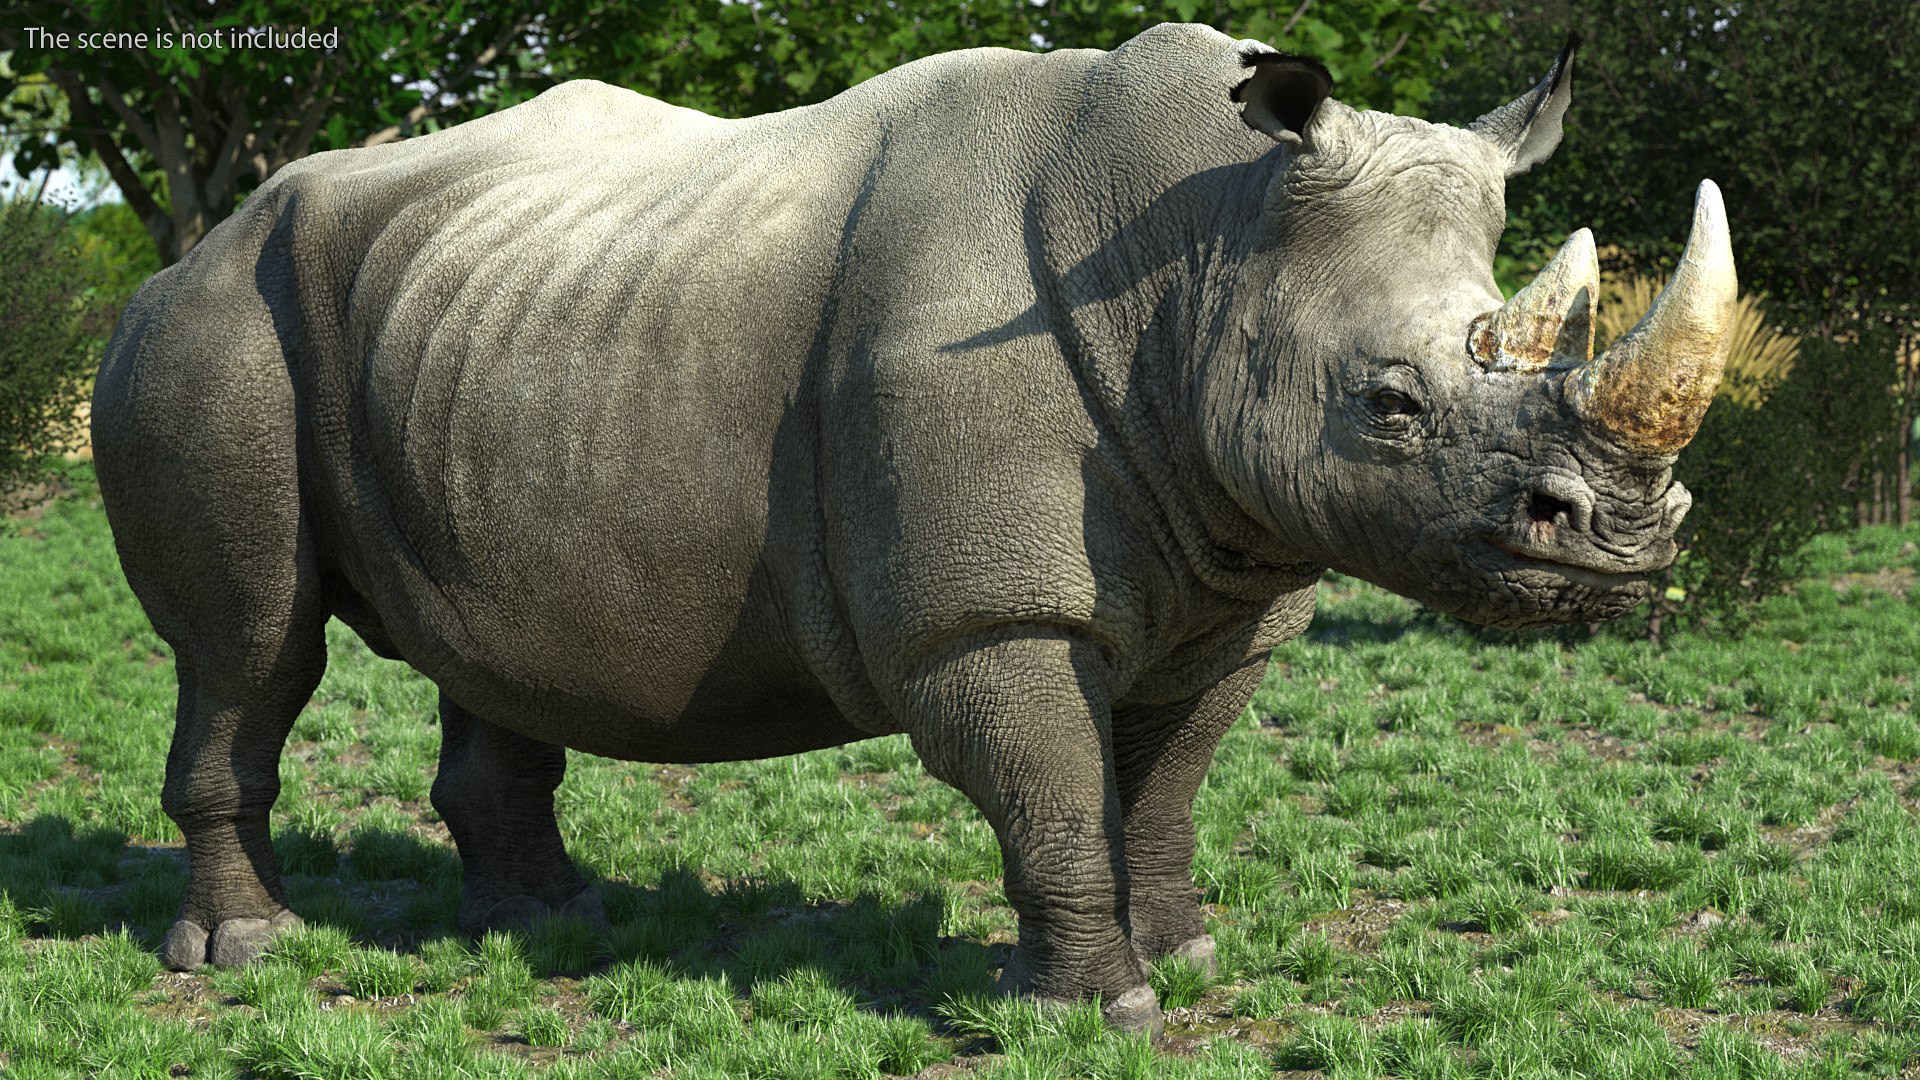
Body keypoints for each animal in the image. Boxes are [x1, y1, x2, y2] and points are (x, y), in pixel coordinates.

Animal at [94, 23, 1735, 1033]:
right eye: (1388, 404)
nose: (1618, 545)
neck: (1201, 256)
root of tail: (190, 245)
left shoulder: (1240, 571)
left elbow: (1167, 781)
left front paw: (1191, 954)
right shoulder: (984, 610)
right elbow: (1054, 786)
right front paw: (1098, 1008)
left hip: (481, 320)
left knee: (477, 630)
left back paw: (548, 928)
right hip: (210, 330)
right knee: (250, 649)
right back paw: (247, 955)